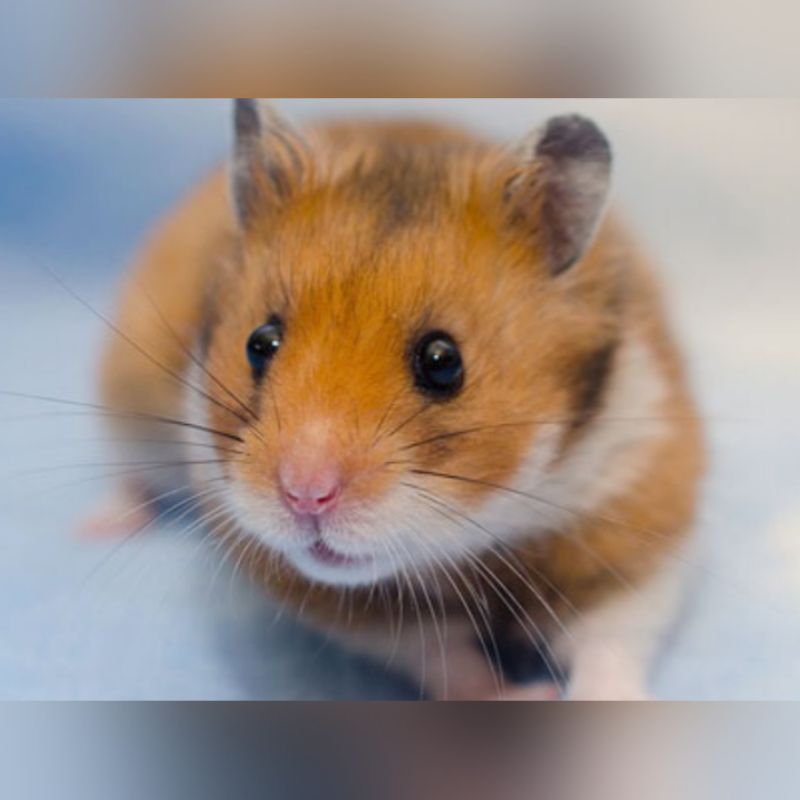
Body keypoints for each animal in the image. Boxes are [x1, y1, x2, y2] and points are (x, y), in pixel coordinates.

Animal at [95, 100, 704, 699]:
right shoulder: (363, 610)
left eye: (442, 360)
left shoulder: (635, 515)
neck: (488, 526)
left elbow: (610, 641)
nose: (305, 495)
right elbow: (447, 660)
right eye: (259, 343)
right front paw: (525, 696)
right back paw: (102, 526)